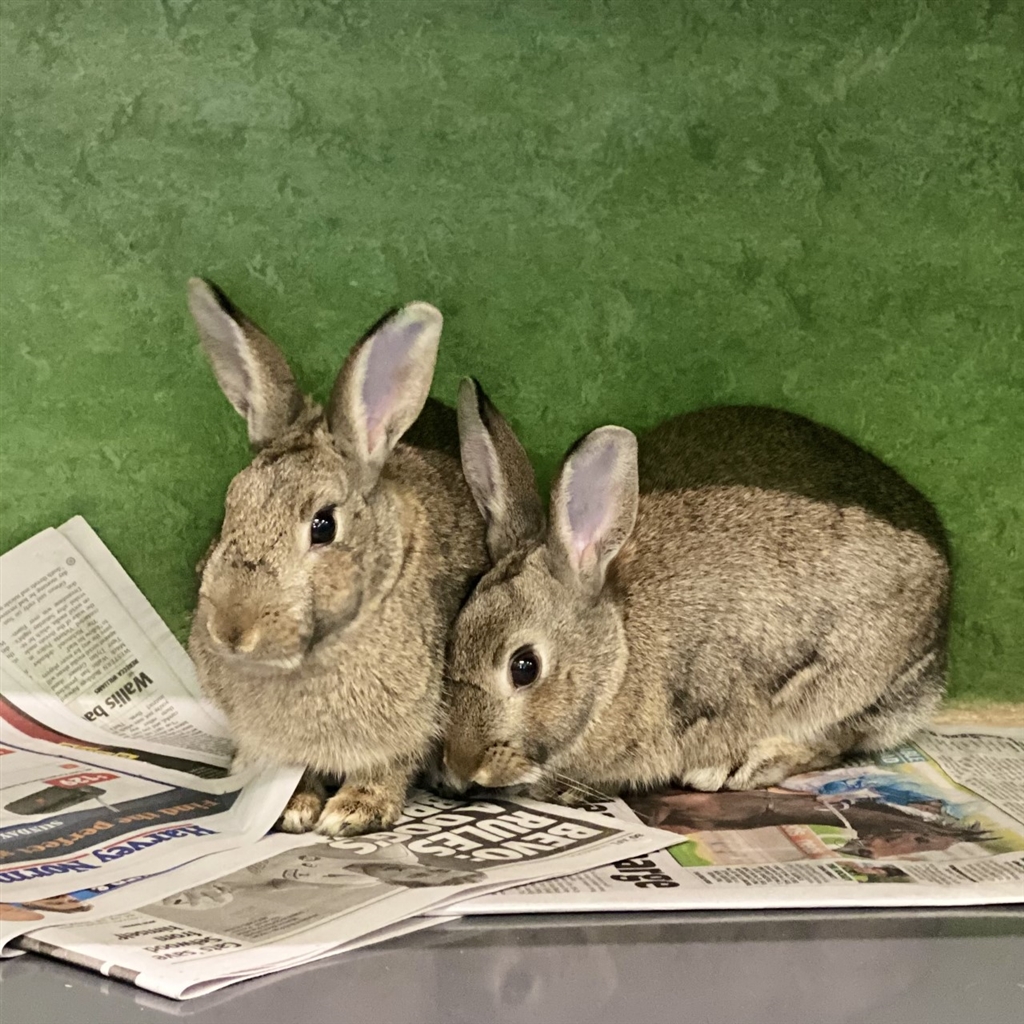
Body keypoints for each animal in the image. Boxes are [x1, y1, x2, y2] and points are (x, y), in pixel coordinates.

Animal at [186, 281, 488, 835]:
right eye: (230, 507)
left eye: (323, 526)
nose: (231, 630)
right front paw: (294, 808)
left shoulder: (410, 723)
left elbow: (388, 765)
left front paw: (353, 811)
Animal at [440, 380, 950, 804]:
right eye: (452, 640)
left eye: (524, 667)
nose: (461, 768)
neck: (618, 658)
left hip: (854, 684)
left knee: (838, 740)